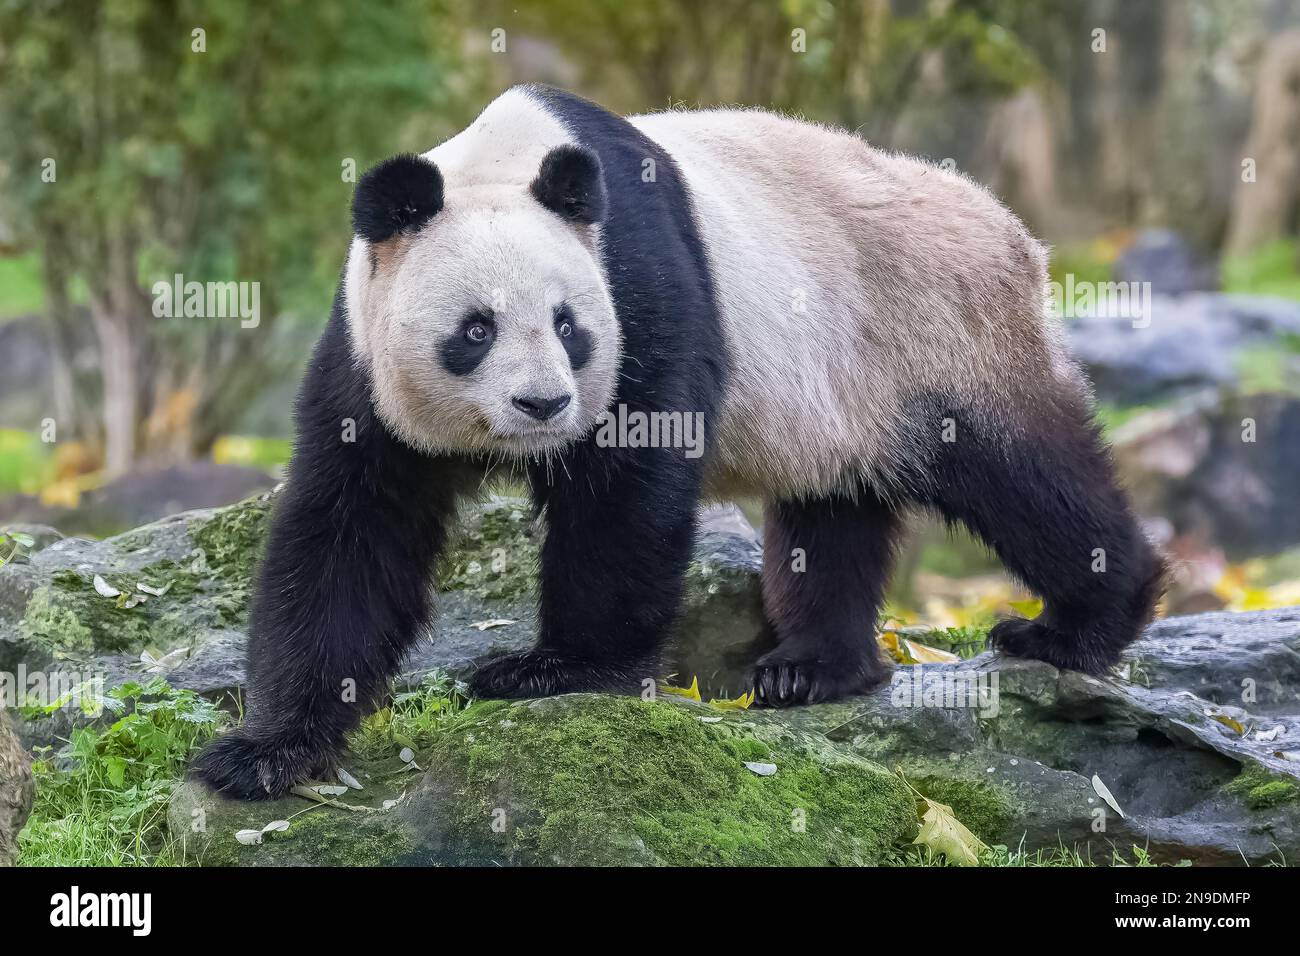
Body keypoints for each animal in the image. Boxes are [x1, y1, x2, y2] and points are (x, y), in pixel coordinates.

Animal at [193, 85, 1165, 799]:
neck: (503, 163)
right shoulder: (364, 361)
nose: (545, 405)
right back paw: (816, 669)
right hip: (843, 384)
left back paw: (1075, 625)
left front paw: (553, 671)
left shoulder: (640, 282)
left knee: (1021, 473)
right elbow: (349, 532)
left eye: (569, 325)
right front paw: (264, 750)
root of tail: (1015, 231)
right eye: (474, 329)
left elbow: (627, 486)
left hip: (936, 328)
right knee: (833, 510)